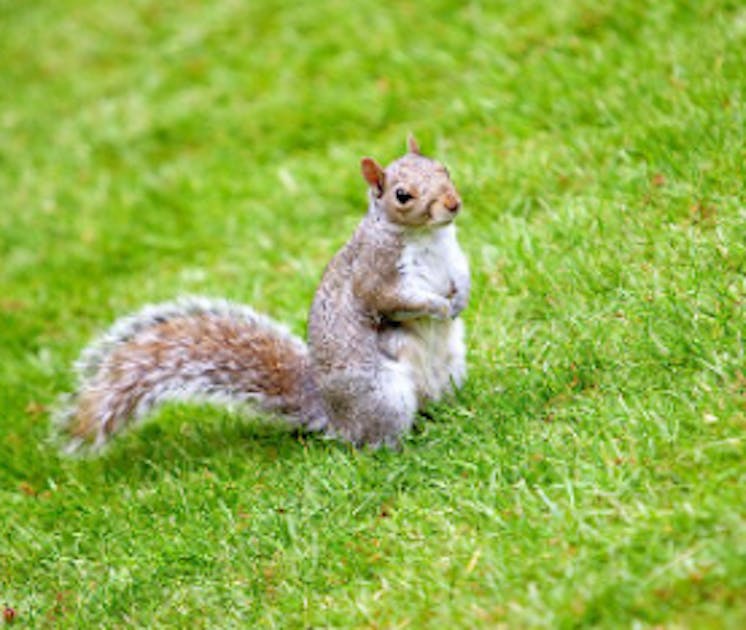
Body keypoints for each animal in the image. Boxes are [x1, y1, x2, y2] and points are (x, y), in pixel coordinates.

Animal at [54, 136, 470, 452]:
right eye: (402, 195)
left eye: (443, 169)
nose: (453, 203)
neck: (426, 237)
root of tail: (333, 414)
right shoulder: (375, 275)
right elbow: (396, 300)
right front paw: (438, 305)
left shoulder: (452, 254)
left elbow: (462, 273)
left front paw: (460, 298)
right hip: (383, 396)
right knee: (372, 439)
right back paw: (404, 444)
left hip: (449, 369)